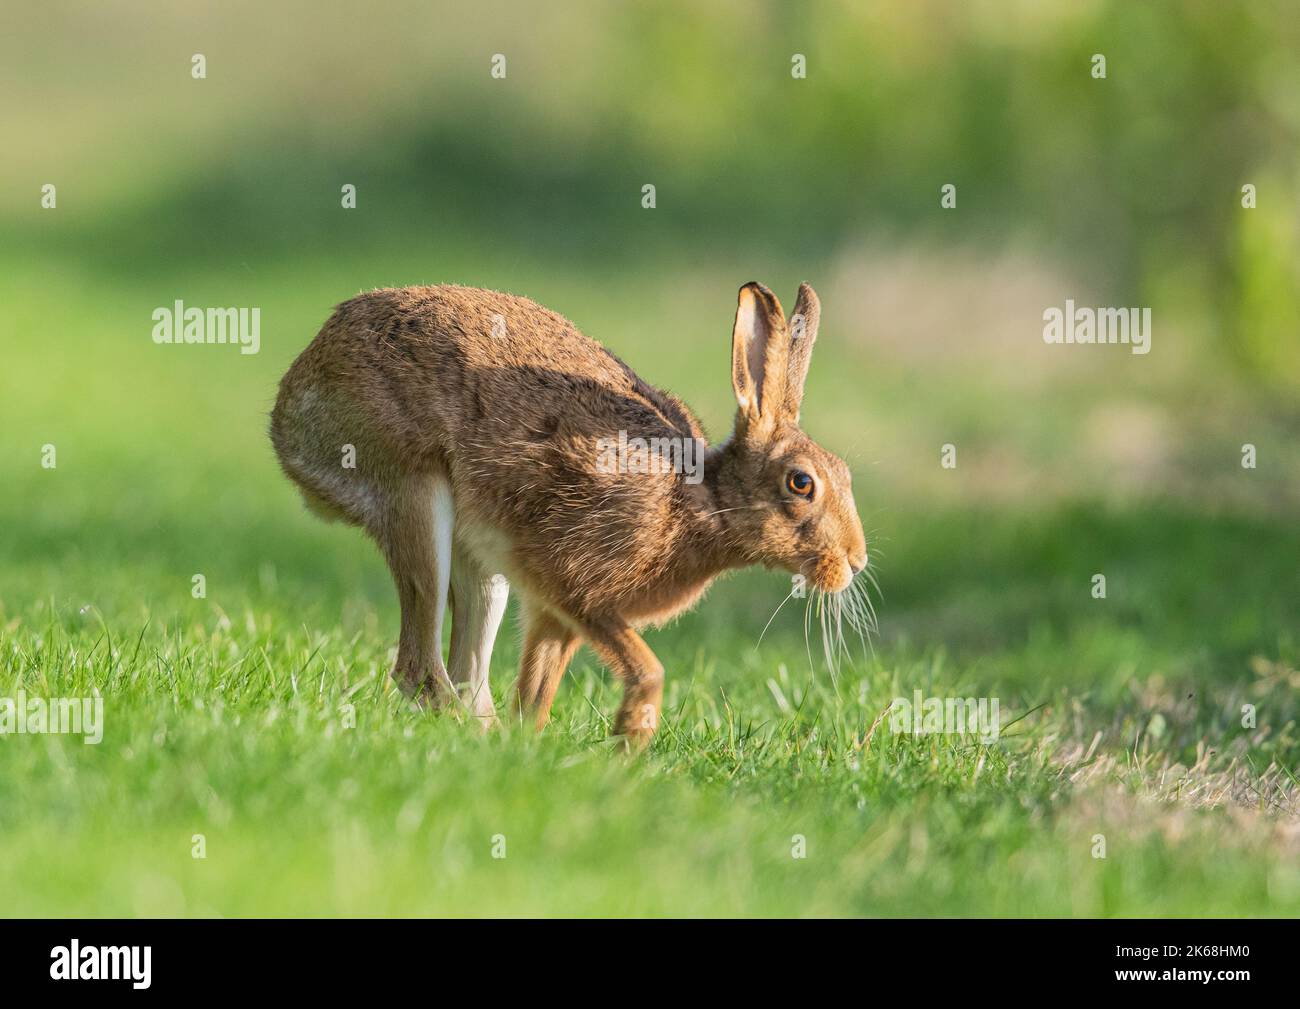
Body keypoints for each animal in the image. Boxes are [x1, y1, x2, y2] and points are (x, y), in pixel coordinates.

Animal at [270, 281, 867, 748]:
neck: (702, 501)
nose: (855, 562)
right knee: (417, 669)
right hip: (413, 496)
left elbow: (537, 690)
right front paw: (627, 742)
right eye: (802, 483)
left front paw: (532, 746)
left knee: (468, 672)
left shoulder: (553, 612)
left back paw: (485, 739)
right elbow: (648, 670)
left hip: (482, 565)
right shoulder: (579, 591)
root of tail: (291, 405)